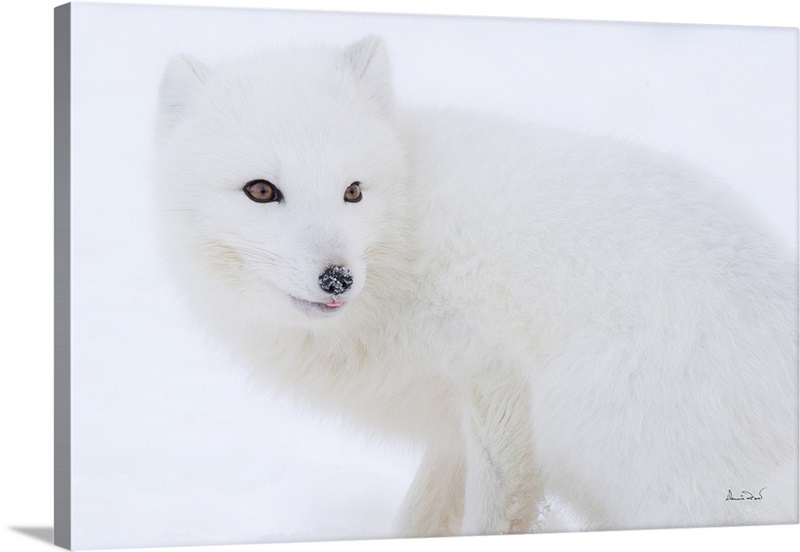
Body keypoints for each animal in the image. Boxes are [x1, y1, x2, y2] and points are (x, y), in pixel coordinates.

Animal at [154, 35, 798, 537]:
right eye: (261, 191)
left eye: (353, 191)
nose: (338, 276)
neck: (408, 239)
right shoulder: (451, 418)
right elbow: (422, 512)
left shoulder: (499, 386)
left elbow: (496, 513)